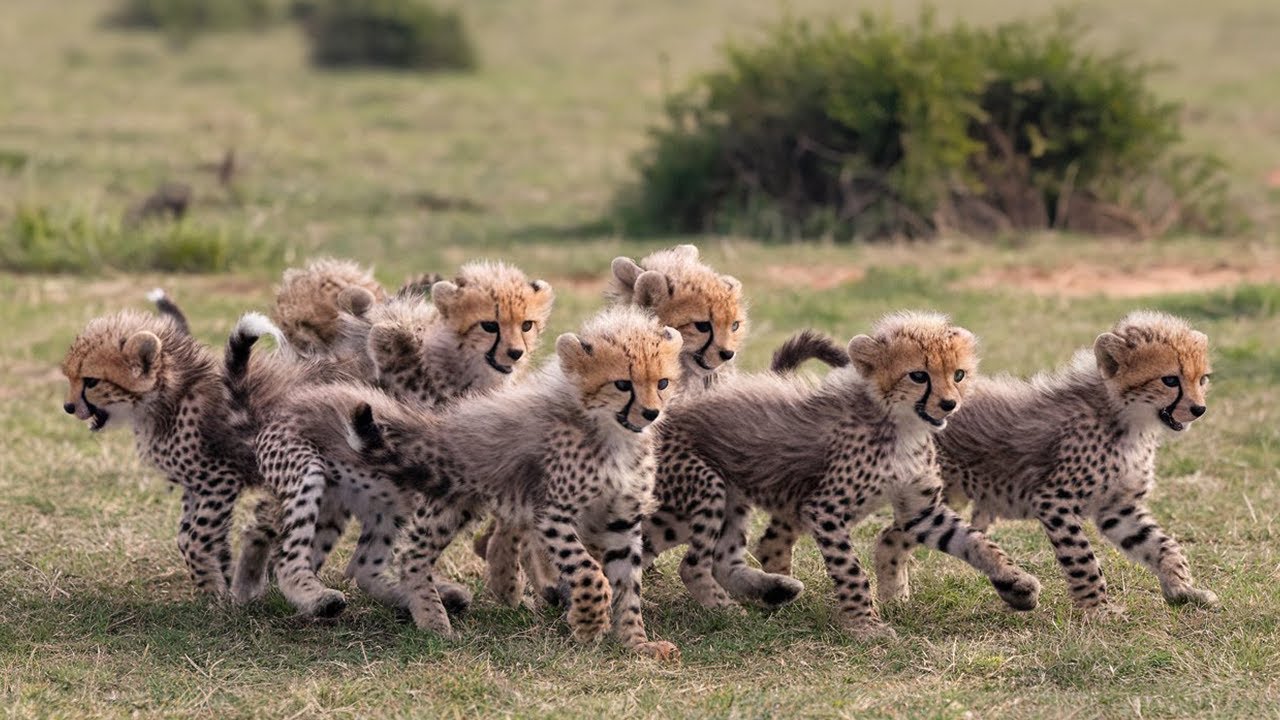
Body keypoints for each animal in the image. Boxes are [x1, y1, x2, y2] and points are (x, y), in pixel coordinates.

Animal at [344, 304, 684, 659]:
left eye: (662, 382)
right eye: (622, 384)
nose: (651, 413)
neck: (614, 435)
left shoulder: (622, 521)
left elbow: (628, 585)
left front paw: (637, 642)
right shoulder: (554, 514)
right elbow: (589, 570)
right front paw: (588, 623)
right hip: (451, 499)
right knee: (412, 554)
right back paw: (433, 620)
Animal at [642, 312, 1041, 637]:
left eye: (958, 374)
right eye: (918, 376)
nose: (949, 404)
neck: (900, 424)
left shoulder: (921, 511)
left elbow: (976, 541)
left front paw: (1016, 582)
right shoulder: (825, 510)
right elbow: (851, 571)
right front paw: (865, 625)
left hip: (720, 498)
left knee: (701, 554)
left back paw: (775, 589)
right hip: (706, 486)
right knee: (693, 564)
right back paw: (727, 611)